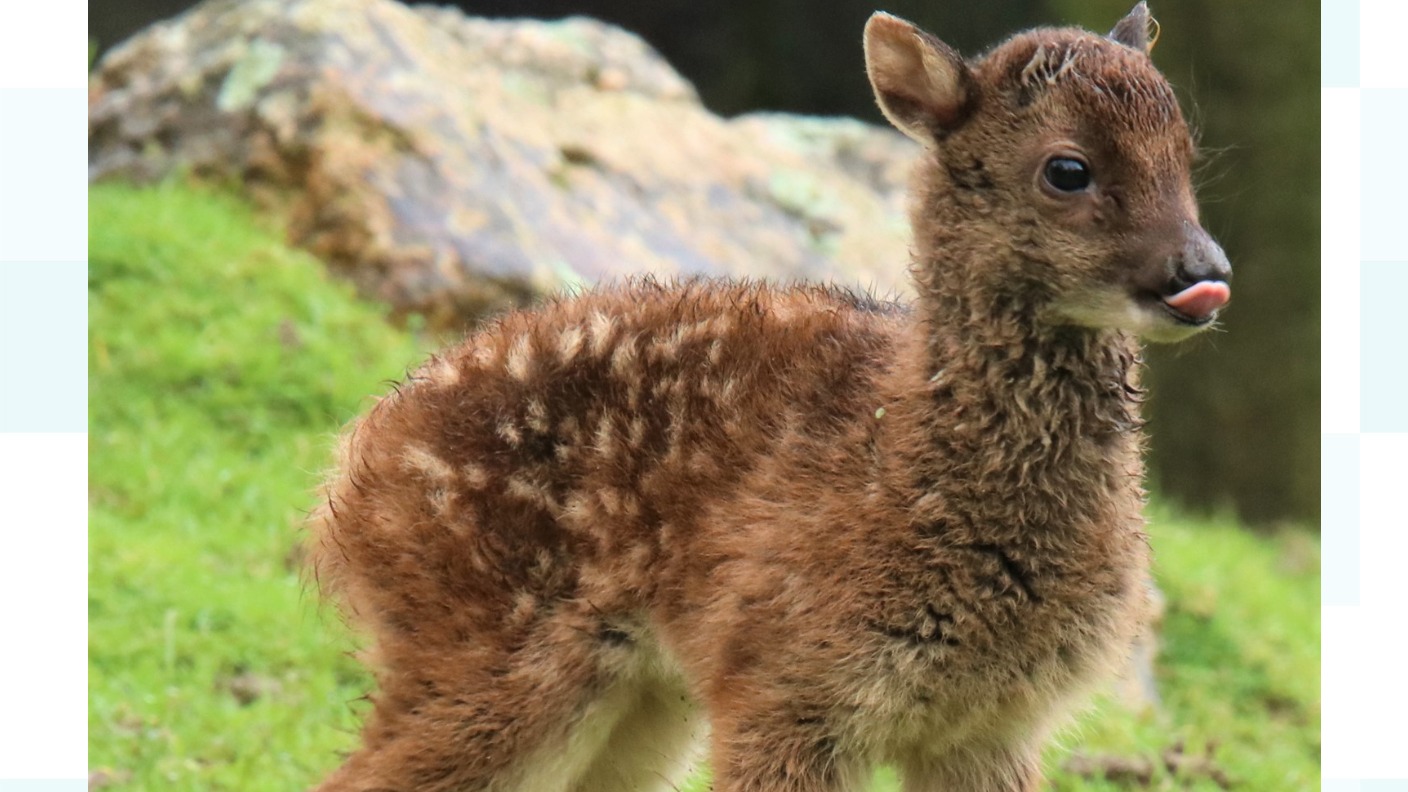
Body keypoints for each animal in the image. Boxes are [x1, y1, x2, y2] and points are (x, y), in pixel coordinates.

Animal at [305, 3, 1231, 790]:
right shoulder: (783, 682)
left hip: (639, 697)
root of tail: (350, 480)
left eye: (1184, 155)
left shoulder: (992, 724)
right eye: (1068, 169)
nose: (1201, 271)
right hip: (487, 646)